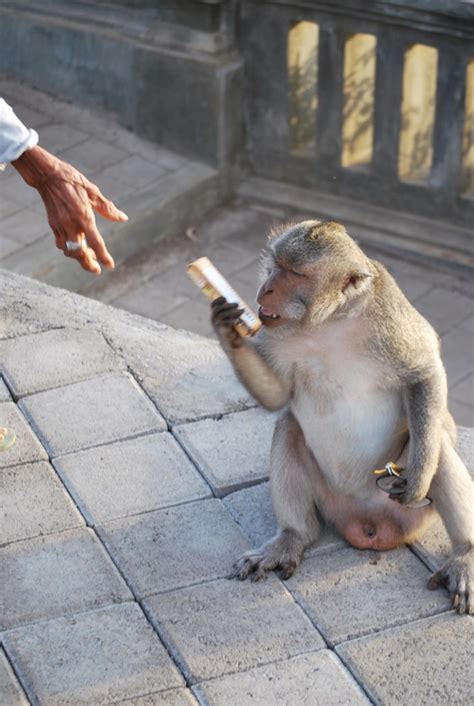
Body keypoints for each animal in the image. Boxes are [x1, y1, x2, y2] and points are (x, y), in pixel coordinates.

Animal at [210, 220, 474, 614]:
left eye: (295, 273)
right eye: (275, 266)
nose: (266, 288)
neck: (330, 320)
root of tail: (367, 524)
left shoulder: (389, 317)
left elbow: (423, 373)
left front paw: (420, 476)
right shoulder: (278, 332)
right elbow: (278, 396)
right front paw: (229, 329)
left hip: (407, 508)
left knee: (436, 442)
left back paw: (465, 555)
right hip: (331, 502)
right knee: (288, 427)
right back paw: (292, 538)